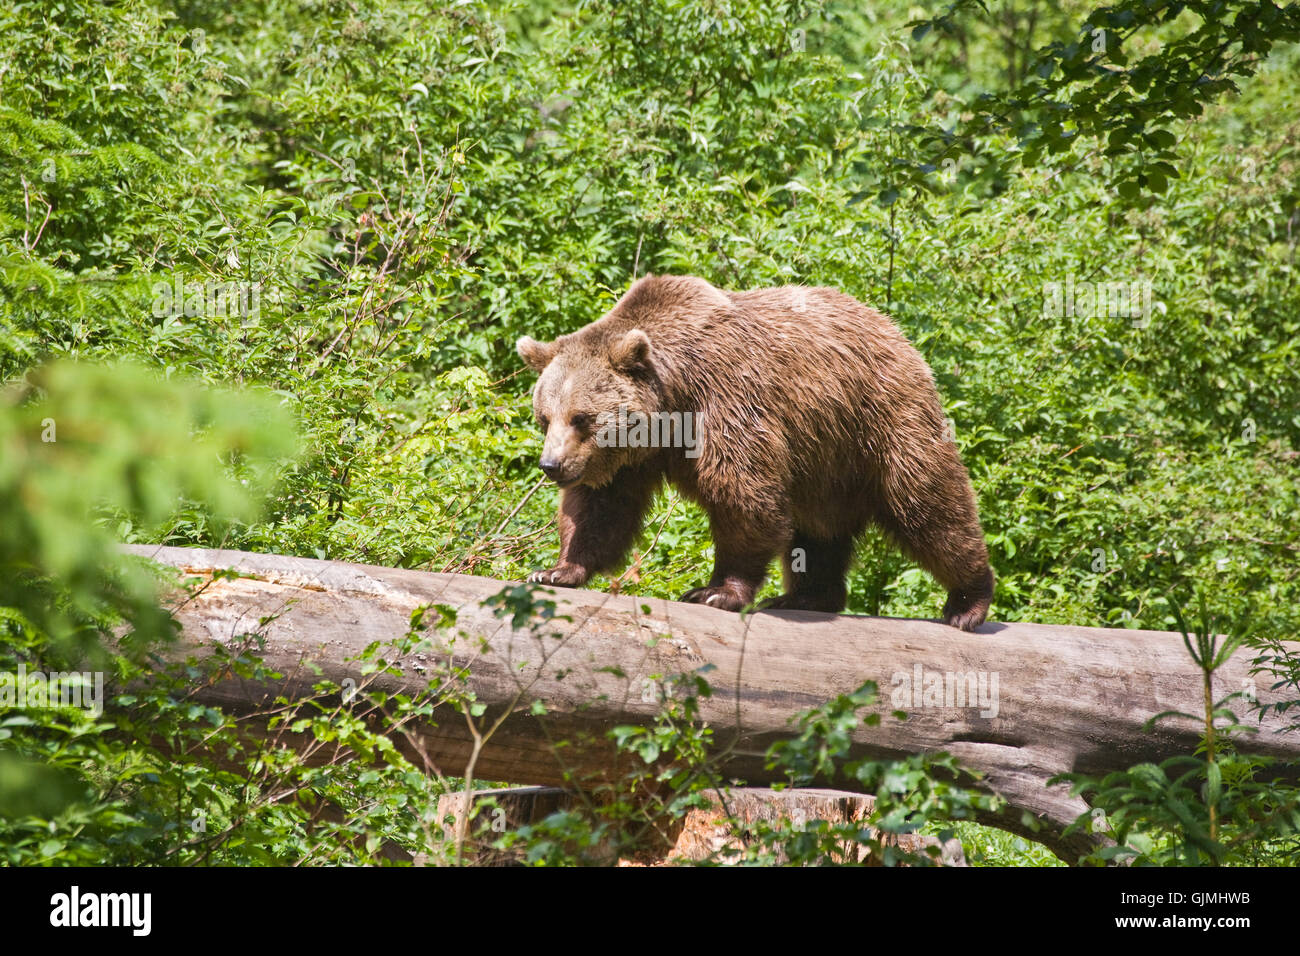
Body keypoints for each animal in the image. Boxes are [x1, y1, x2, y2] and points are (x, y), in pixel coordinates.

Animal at [516, 274, 994, 630]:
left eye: (581, 418)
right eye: (544, 417)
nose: (552, 465)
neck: (671, 402)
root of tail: (893, 328)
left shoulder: (727, 401)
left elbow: (743, 495)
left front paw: (716, 591)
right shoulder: (630, 458)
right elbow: (600, 508)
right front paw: (556, 570)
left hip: (882, 420)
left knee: (927, 503)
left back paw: (967, 601)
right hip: (824, 462)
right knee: (819, 530)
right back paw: (806, 596)